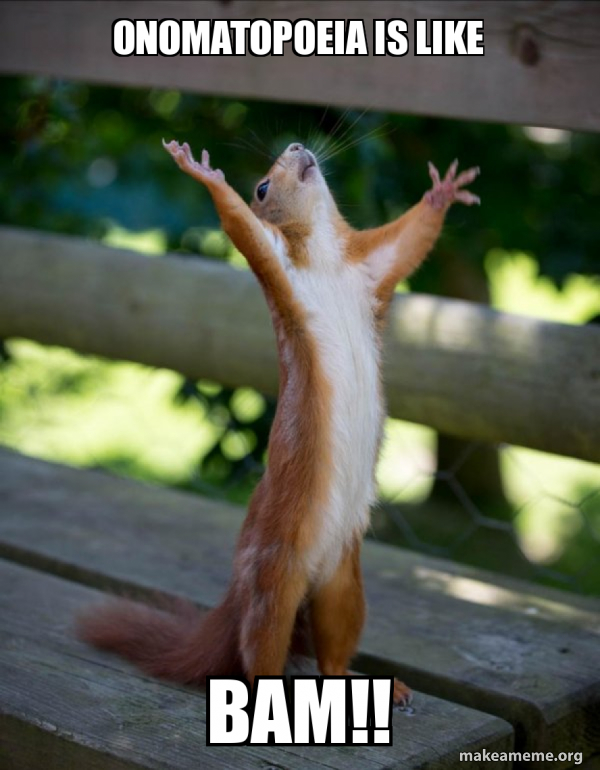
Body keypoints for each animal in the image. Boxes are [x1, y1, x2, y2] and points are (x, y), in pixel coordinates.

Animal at [77, 138, 479, 707]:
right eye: (262, 187)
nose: (296, 146)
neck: (327, 259)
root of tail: (238, 592)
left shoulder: (372, 267)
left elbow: (410, 239)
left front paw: (442, 192)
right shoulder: (277, 265)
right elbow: (240, 226)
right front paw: (203, 173)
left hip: (343, 584)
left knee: (334, 650)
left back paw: (367, 683)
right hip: (274, 582)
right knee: (258, 654)